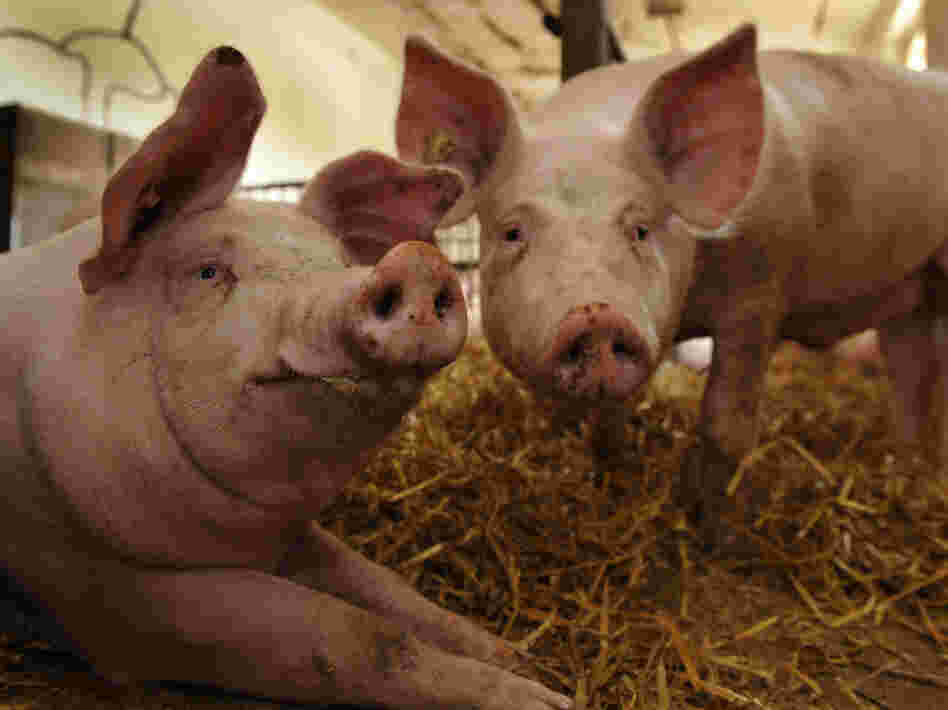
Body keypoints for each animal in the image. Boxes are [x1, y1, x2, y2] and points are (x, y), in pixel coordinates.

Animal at [0, 46, 573, 710]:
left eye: (338, 263)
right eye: (207, 272)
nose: (419, 261)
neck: (248, 540)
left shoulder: (296, 537)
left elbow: (384, 588)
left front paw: (532, 663)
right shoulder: (106, 589)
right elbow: (349, 638)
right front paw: (548, 701)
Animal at [394, 25, 948, 540]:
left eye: (641, 228)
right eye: (512, 231)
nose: (595, 317)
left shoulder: (760, 290)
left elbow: (726, 423)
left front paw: (703, 527)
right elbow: (609, 420)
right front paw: (610, 481)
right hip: (915, 293)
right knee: (912, 373)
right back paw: (909, 468)